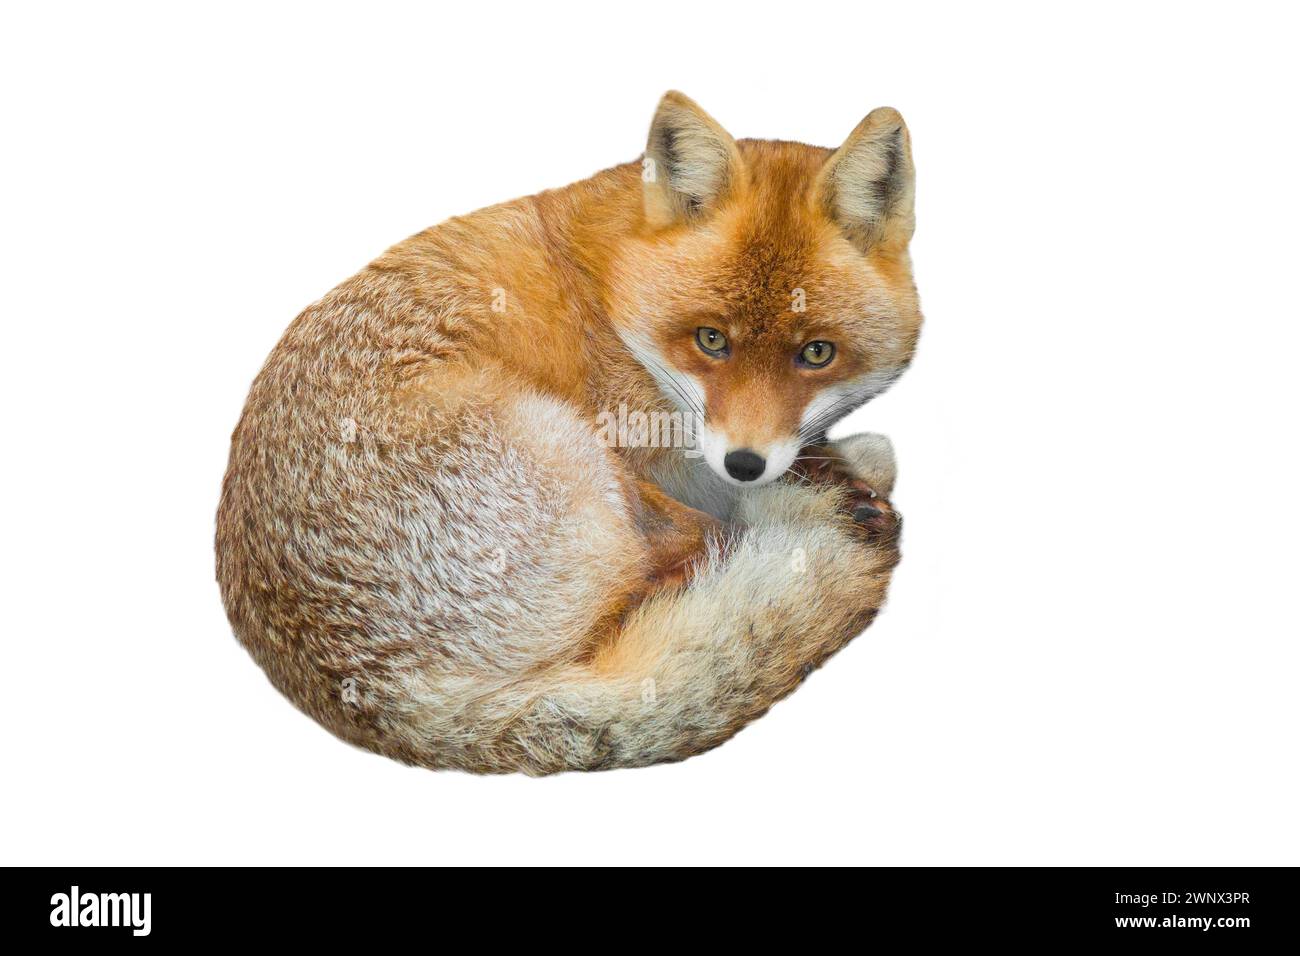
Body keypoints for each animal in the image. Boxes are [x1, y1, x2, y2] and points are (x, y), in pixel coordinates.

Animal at [216, 92, 923, 774]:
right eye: (711, 340)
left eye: (817, 353)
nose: (746, 463)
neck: (614, 298)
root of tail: (389, 702)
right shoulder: (650, 453)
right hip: (576, 458)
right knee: (680, 563)